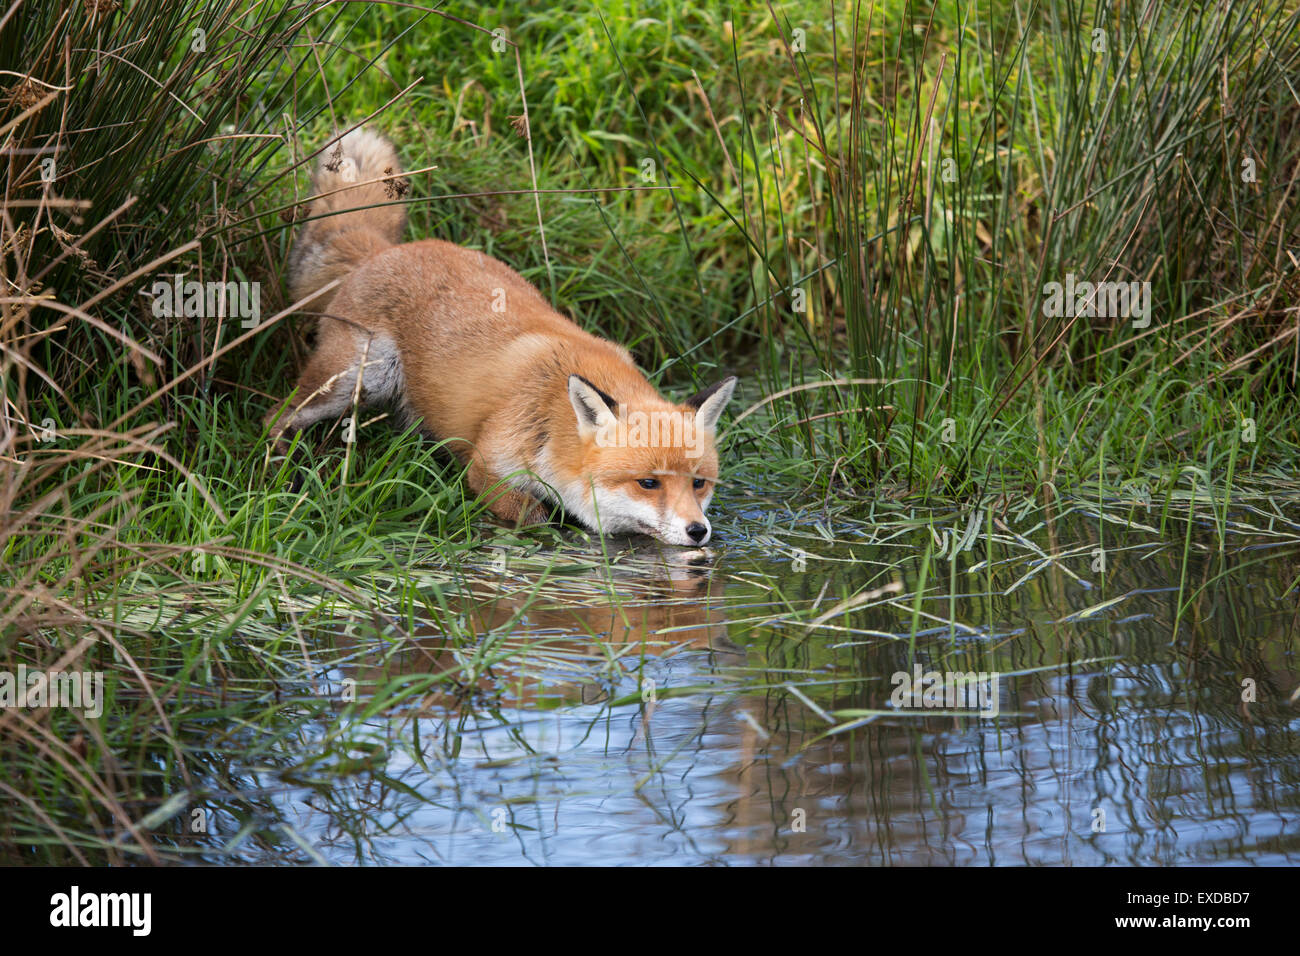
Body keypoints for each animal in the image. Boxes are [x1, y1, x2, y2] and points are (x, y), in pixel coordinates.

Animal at [265, 127, 737, 546]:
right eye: (648, 483)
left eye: (699, 482)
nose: (699, 532)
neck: (554, 419)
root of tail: (383, 251)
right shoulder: (489, 466)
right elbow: (532, 519)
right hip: (354, 379)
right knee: (276, 416)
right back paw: (281, 466)